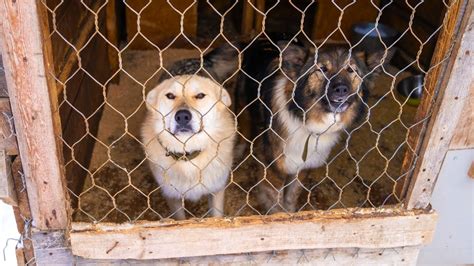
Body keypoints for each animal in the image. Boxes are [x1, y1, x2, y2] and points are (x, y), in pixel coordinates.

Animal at [241, 37, 392, 213]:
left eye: (351, 70)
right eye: (323, 69)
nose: (341, 89)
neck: (309, 123)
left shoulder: (303, 167)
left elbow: (291, 196)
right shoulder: (274, 170)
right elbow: (277, 206)